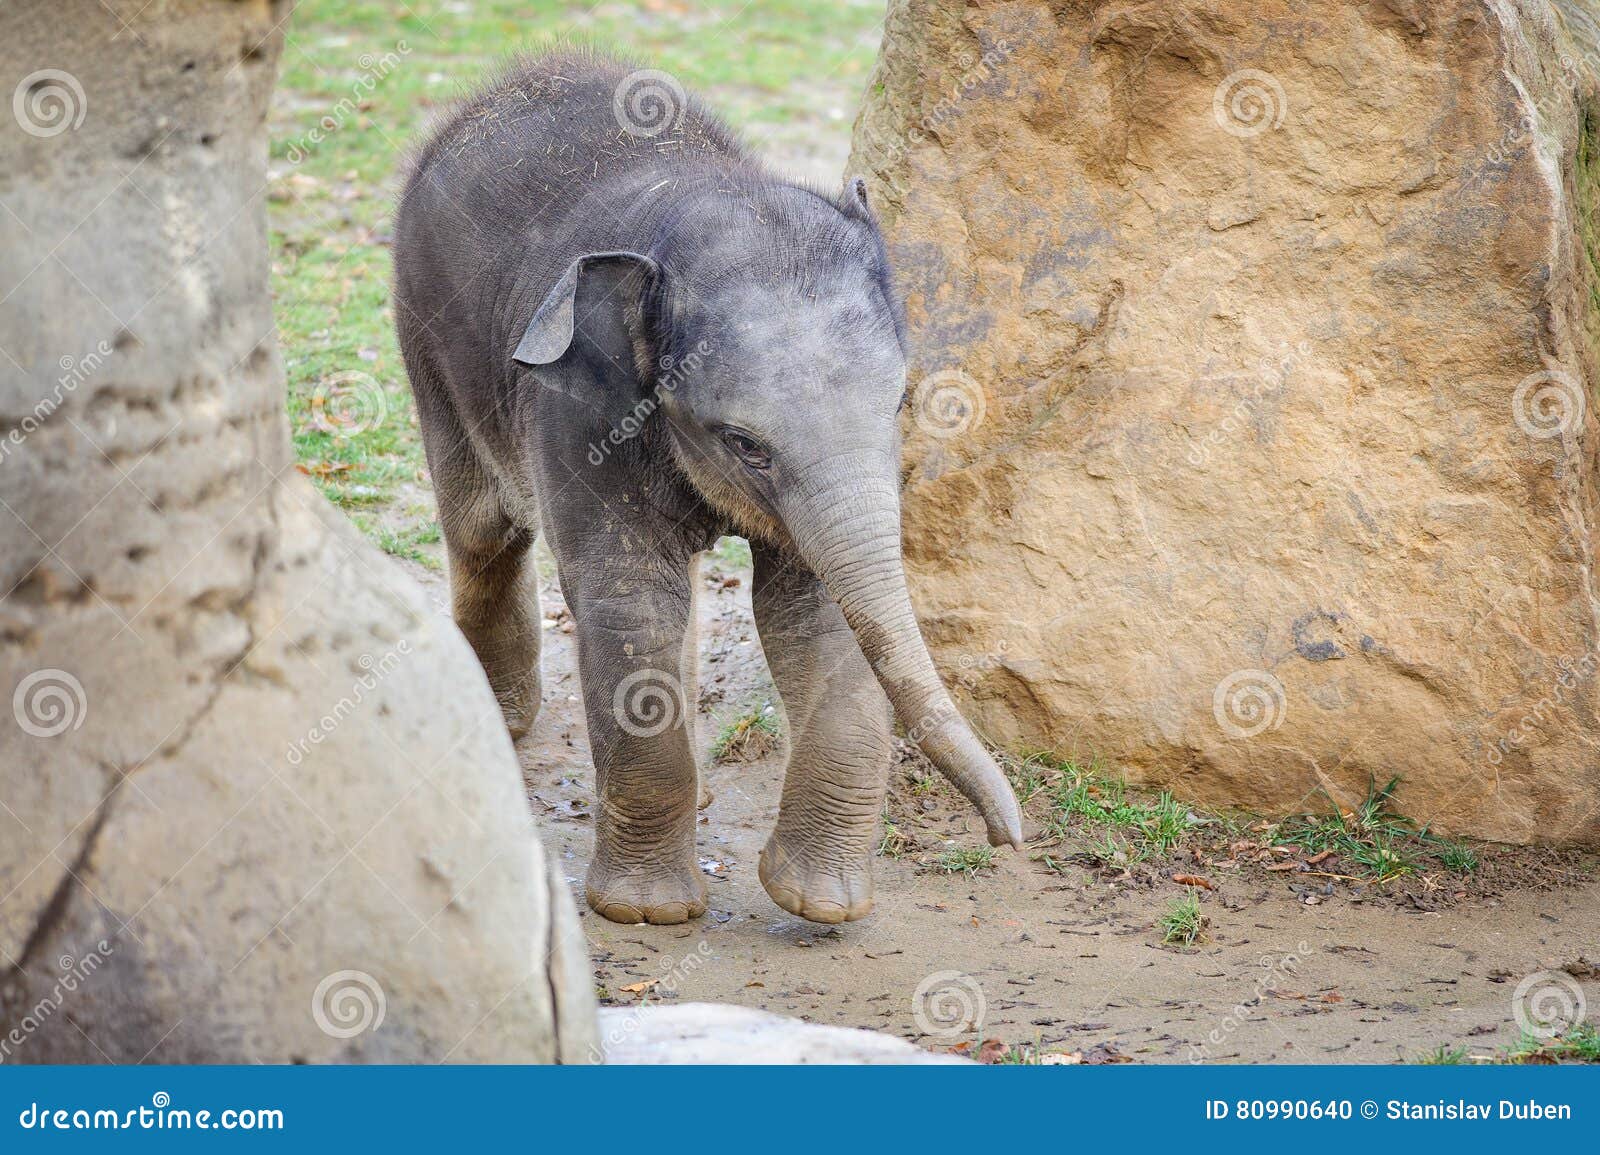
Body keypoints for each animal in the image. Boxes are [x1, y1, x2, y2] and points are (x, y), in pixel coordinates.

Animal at [392, 50, 1022, 926]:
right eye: (745, 443)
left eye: (900, 403)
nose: (1009, 837)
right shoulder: (583, 405)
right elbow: (631, 599)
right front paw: (647, 912)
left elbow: (816, 607)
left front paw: (821, 903)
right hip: (424, 330)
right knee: (485, 526)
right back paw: (501, 725)